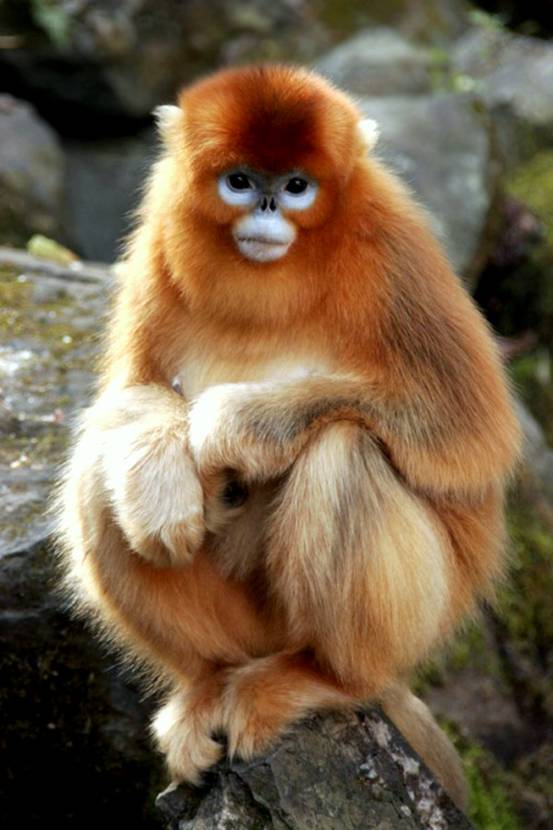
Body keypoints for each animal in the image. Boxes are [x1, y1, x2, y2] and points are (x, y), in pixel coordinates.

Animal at [56, 65, 521, 811]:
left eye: (298, 186)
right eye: (241, 180)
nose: (270, 206)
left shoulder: (392, 246)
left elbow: (469, 434)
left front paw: (231, 425)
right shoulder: (158, 240)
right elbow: (128, 396)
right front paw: (162, 485)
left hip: (409, 623)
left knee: (343, 450)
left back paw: (323, 679)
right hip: (247, 628)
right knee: (100, 467)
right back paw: (205, 684)